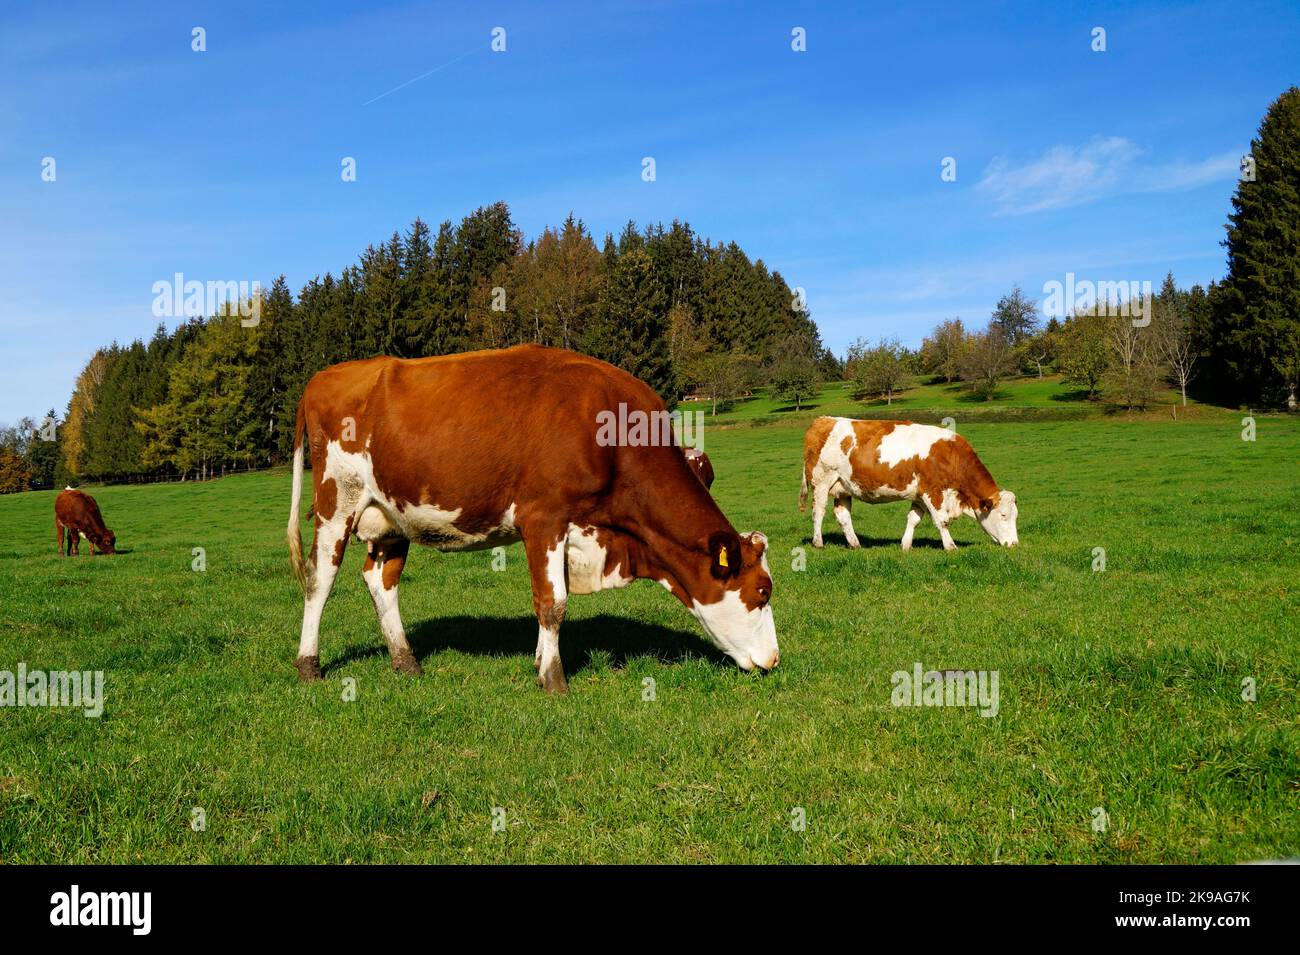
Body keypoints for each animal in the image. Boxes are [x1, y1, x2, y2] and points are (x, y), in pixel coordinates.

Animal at [287, 344, 778, 694]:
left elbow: (553, 601)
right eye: (762, 592)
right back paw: (309, 665)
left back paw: (406, 662)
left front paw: (541, 663)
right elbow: (552, 602)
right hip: (337, 500)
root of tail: (326, 376)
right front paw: (554, 680)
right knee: (320, 578)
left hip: (390, 517)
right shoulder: (544, 518)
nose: (774, 659)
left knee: (380, 580)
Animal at [799, 417, 1018, 551]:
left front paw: (905, 545)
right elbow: (942, 520)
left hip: (843, 487)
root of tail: (823, 420)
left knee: (843, 515)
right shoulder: (933, 492)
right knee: (818, 512)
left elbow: (913, 519)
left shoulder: (920, 495)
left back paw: (855, 544)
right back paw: (818, 543)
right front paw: (951, 546)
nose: (1014, 544)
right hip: (821, 482)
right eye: (1003, 515)